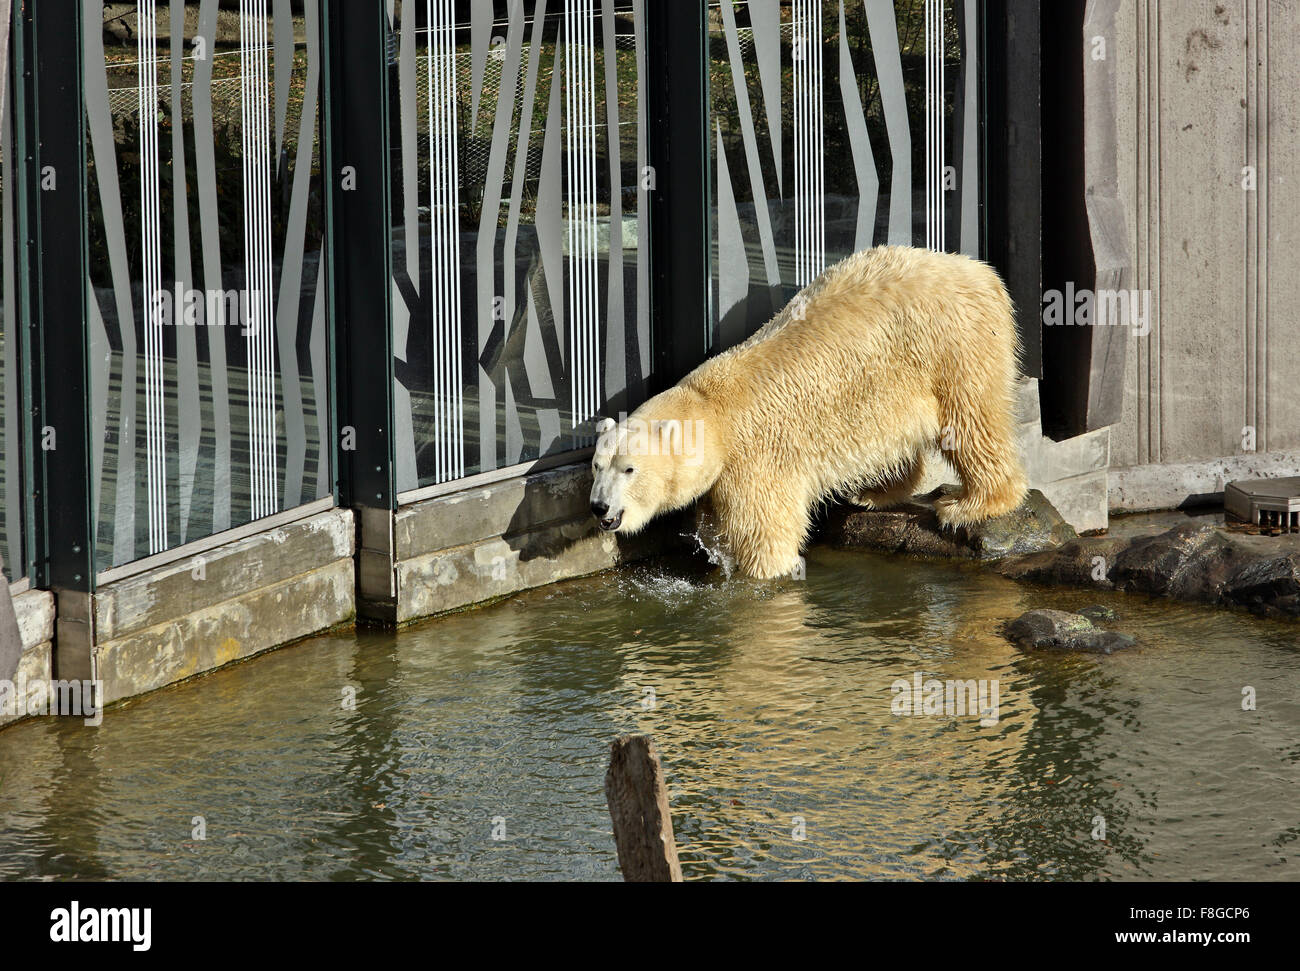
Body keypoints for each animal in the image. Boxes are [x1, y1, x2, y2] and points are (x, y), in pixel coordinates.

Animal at [588, 245, 1028, 579]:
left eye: (629, 469)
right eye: (597, 465)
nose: (599, 507)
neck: (711, 408)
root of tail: (983, 273)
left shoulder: (756, 462)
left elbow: (766, 537)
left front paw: (762, 574)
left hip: (952, 346)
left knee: (973, 420)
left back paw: (969, 504)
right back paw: (872, 493)